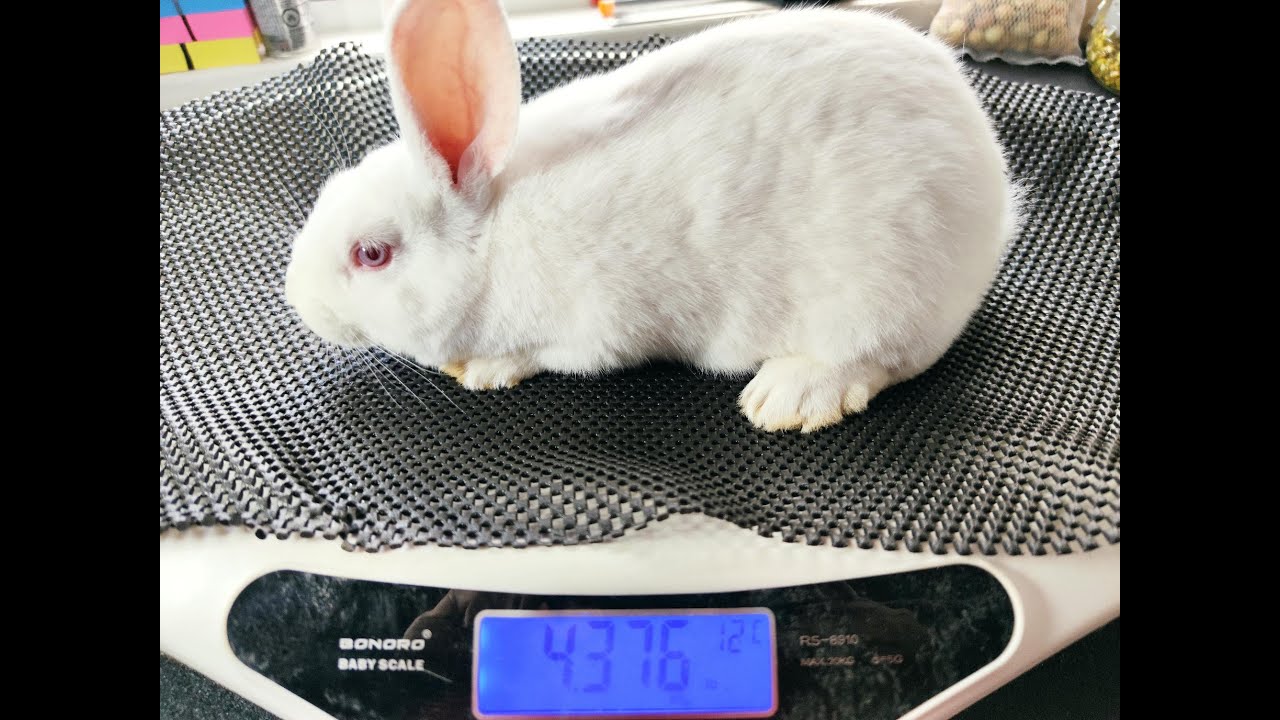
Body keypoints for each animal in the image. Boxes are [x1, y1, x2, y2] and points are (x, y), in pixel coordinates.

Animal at [284, 0, 1022, 433]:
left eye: (372, 254)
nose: (298, 303)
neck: (492, 239)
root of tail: (992, 190)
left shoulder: (592, 329)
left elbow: (544, 354)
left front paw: (485, 368)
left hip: (881, 289)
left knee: (881, 361)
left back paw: (786, 398)